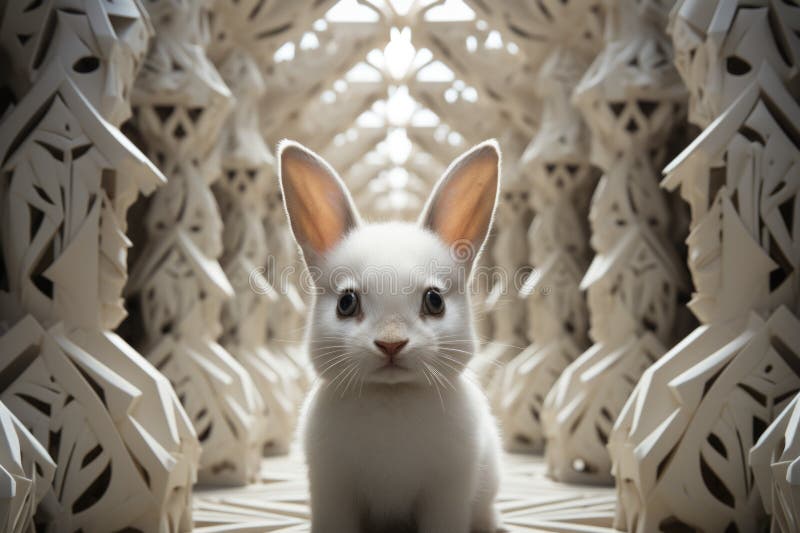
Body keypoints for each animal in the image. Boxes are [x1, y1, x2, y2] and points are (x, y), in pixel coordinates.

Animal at [278, 138, 503, 533]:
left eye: (434, 300)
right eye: (346, 302)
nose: (391, 344)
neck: (391, 396)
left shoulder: (445, 495)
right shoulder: (333, 492)